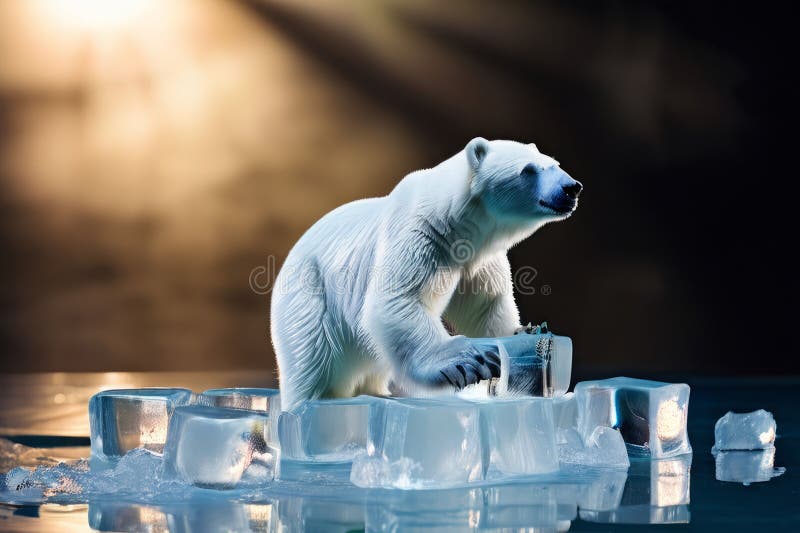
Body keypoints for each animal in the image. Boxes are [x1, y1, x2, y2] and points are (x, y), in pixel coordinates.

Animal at [271, 138, 582, 410]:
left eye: (555, 163)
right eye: (528, 169)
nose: (572, 187)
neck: (454, 220)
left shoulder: (476, 259)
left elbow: (486, 305)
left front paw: (524, 333)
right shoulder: (419, 236)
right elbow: (397, 300)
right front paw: (470, 359)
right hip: (309, 297)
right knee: (311, 356)